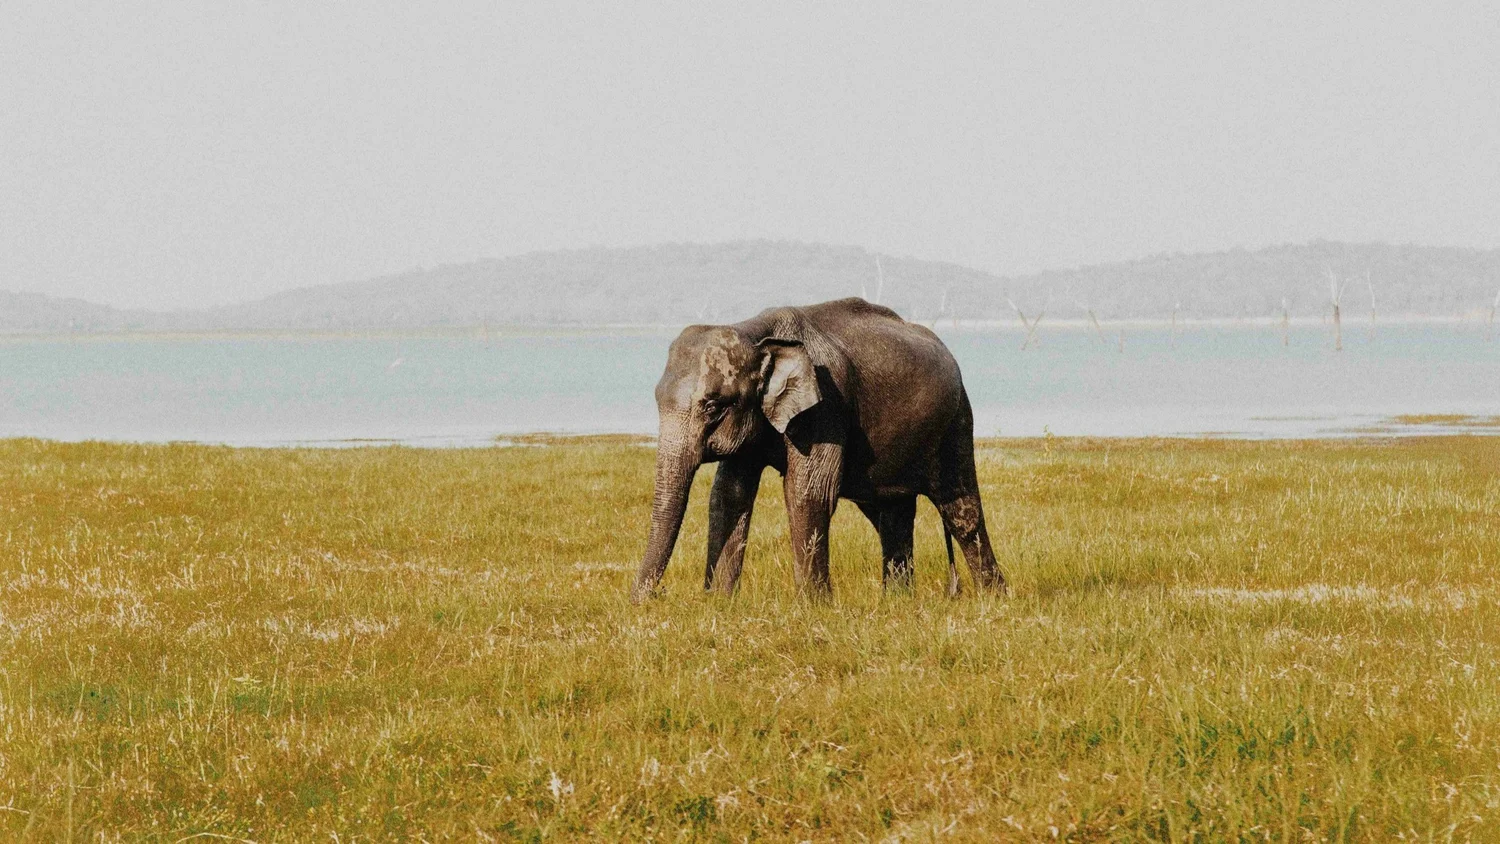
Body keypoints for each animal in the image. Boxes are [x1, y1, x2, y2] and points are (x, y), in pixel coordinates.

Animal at [630, 297, 1006, 601]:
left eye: (712, 406)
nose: (655, 597)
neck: (755, 332)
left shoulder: (826, 406)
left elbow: (808, 493)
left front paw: (813, 606)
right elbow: (728, 495)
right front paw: (720, 603)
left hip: (956, 421)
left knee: (960, 509)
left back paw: (993, 599)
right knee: (890, 514)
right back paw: (899, 601)